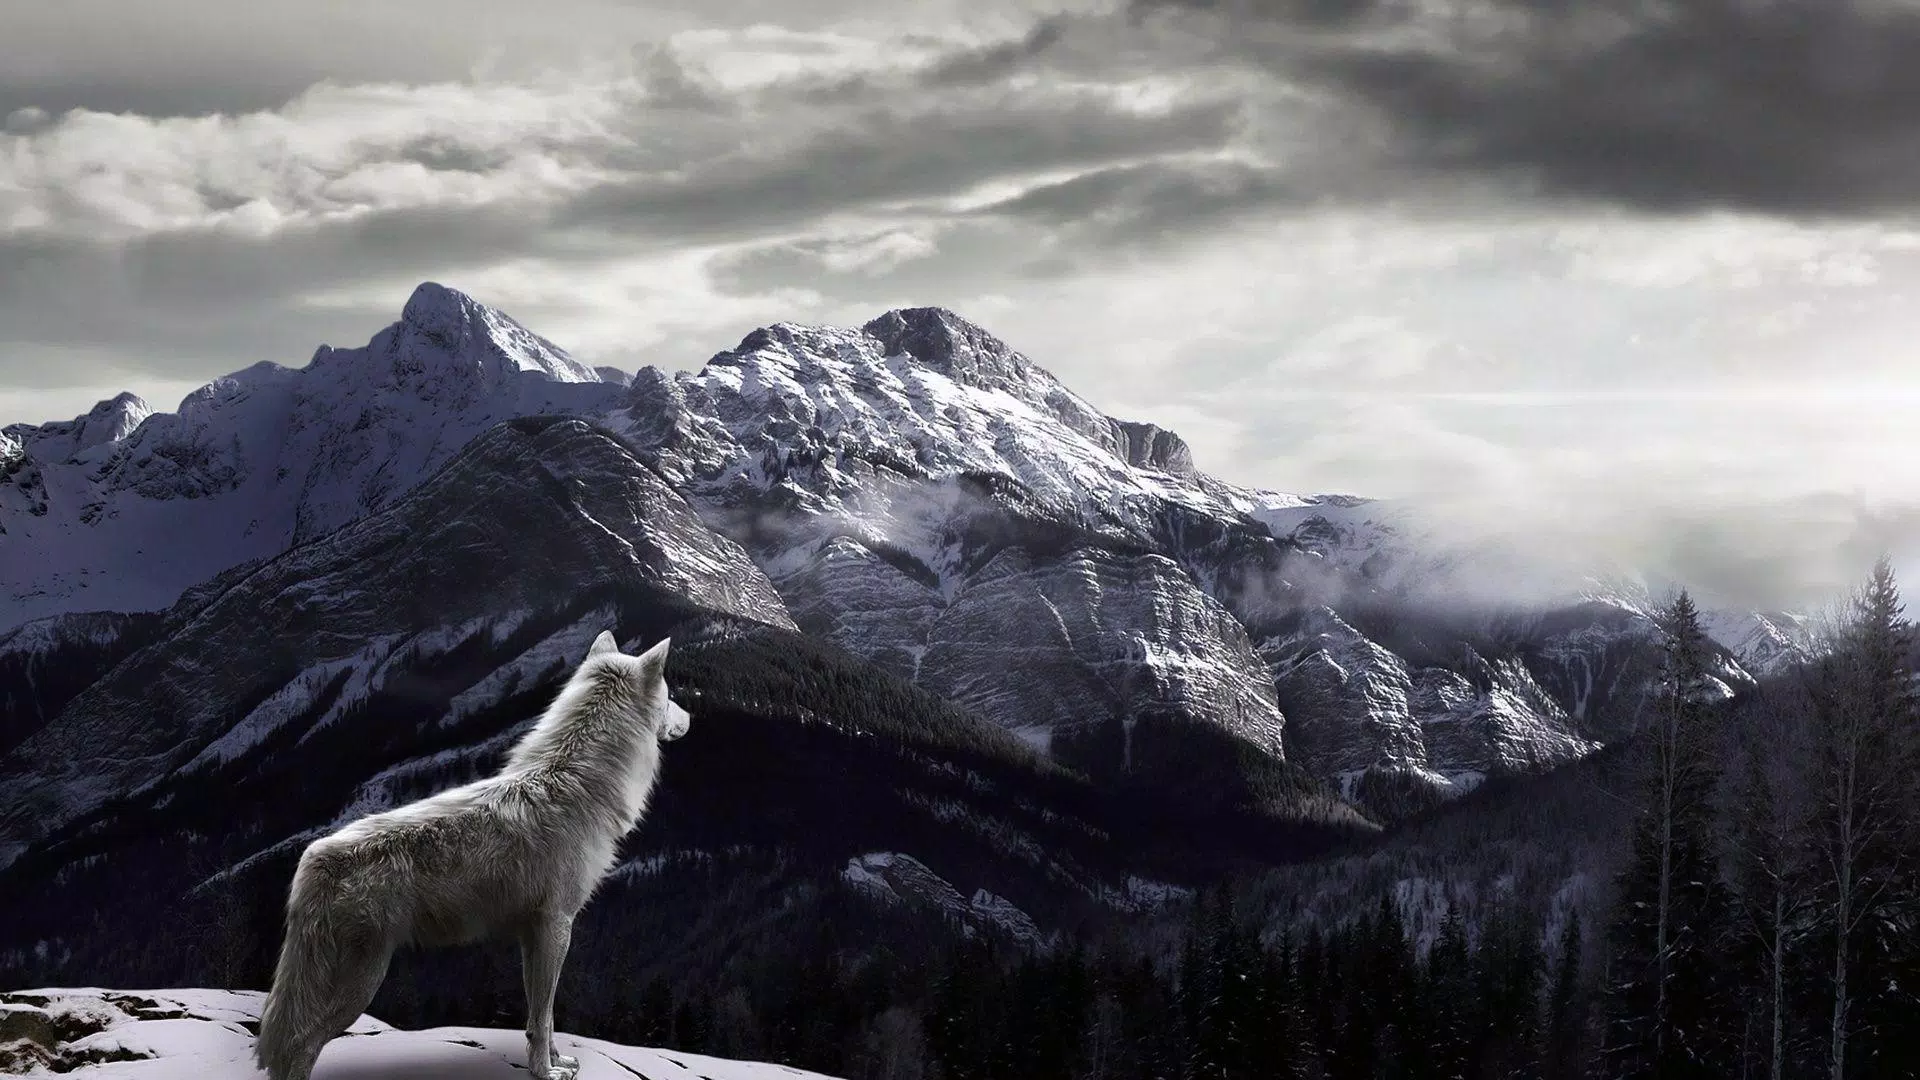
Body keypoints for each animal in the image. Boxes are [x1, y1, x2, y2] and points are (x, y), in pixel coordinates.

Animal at [253, 631, 690, 1080]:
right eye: (671, 696)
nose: (690, 716)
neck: (576, 783)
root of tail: (315, 857)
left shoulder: (534, 934)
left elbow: (543, 1017)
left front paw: (556, 1060)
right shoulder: (557, 925)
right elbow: (544, 1016)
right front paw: (545, 1072)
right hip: (360, 984)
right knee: (300, 1045)